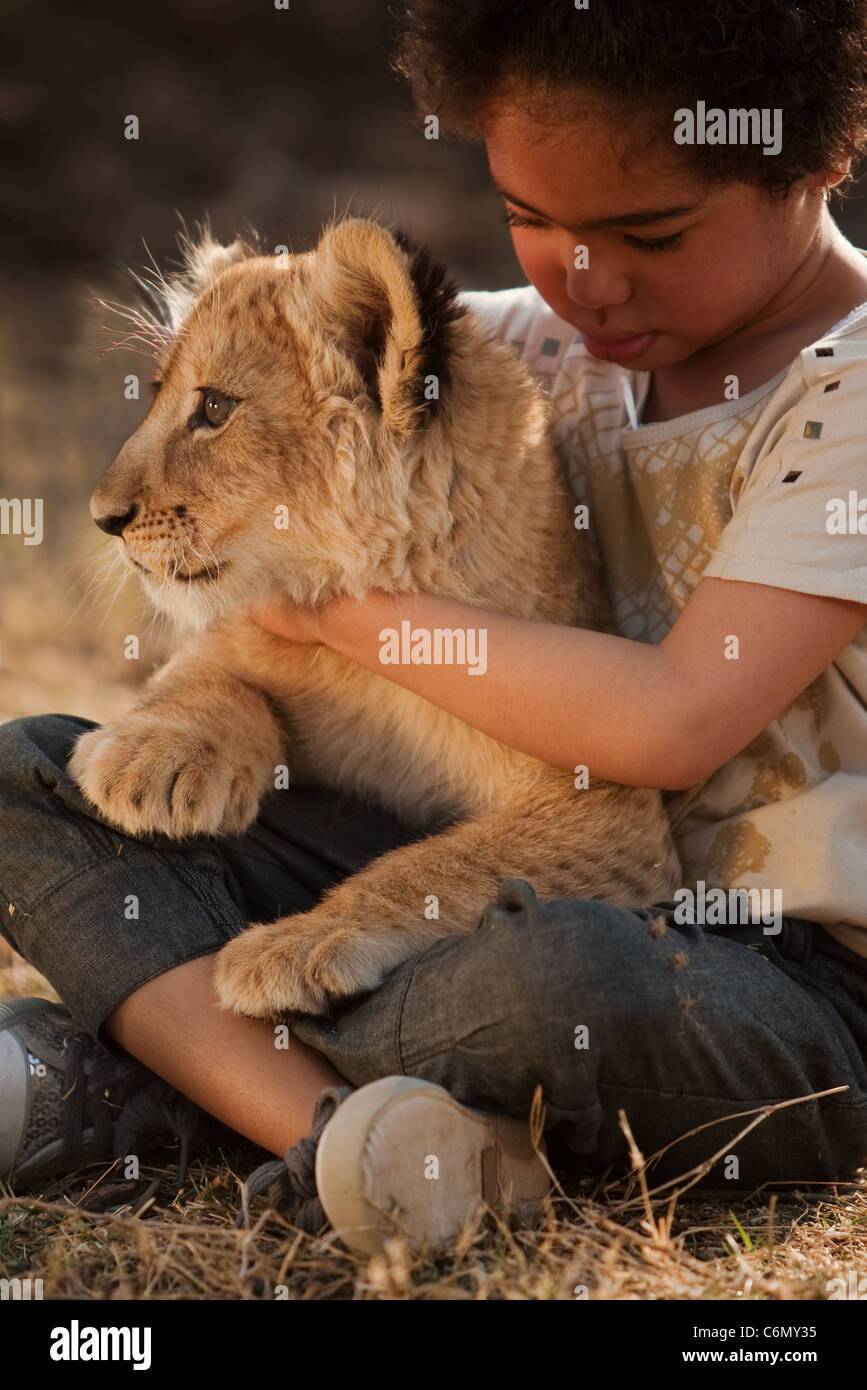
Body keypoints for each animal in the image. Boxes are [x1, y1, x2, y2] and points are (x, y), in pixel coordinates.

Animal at [69, 217, 681, 1017]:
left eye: (214, 410)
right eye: (157, 394)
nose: (102, 518)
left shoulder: (607, 800)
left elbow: (443, 864)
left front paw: (296, 944)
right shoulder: (245, 631)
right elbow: (206, 674)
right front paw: (151, 759)